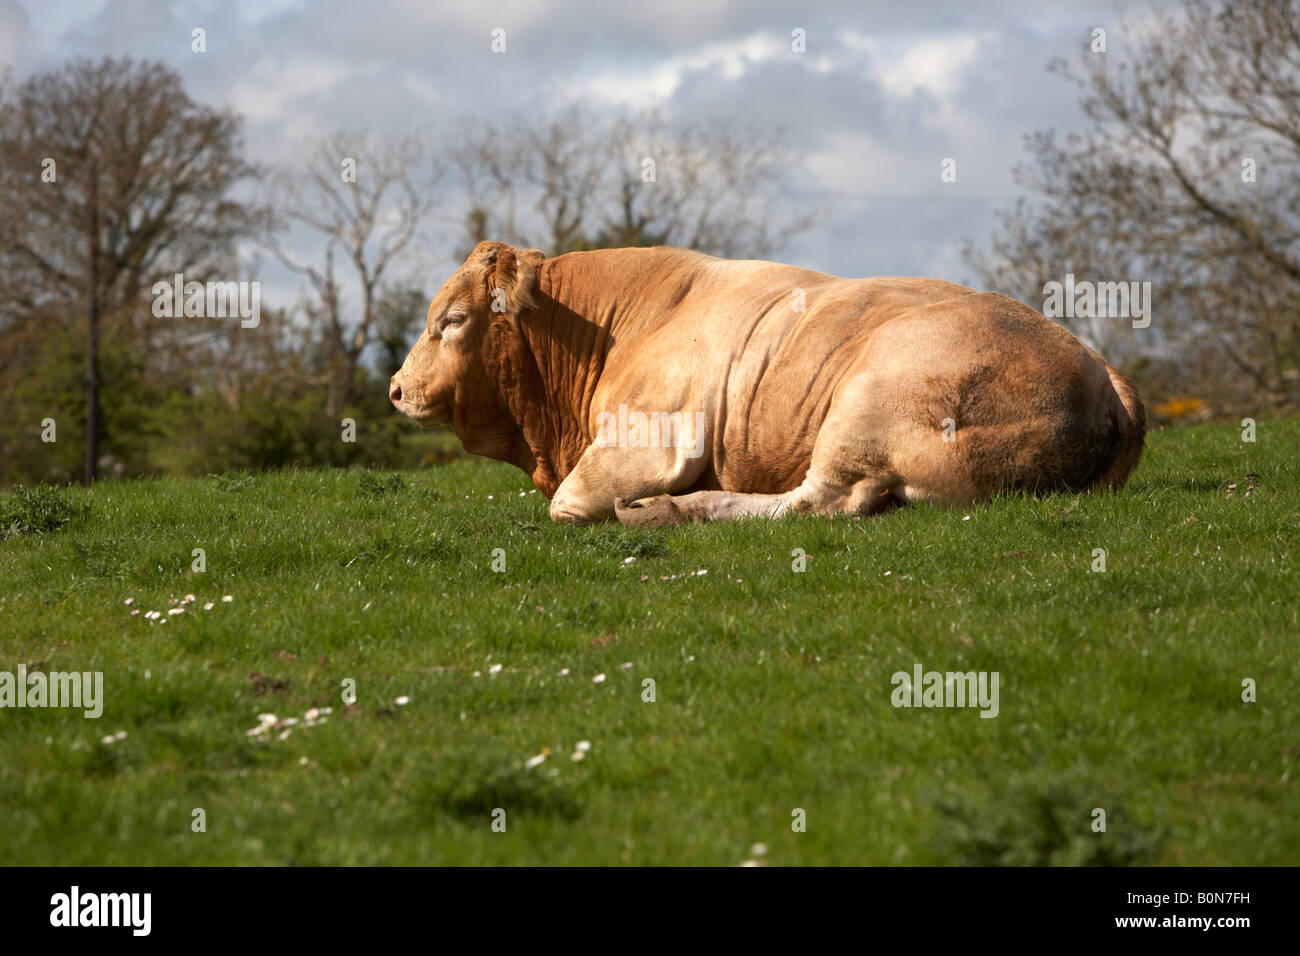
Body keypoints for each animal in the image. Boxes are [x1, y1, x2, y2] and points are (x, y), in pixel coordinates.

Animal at [389, 241, 1145, 528]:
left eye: (450, 321)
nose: (395, 388)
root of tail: (1100, 369)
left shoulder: (644, 438)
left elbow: (569, 504)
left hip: (865, 400)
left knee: (819, 502)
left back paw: (678, 509)